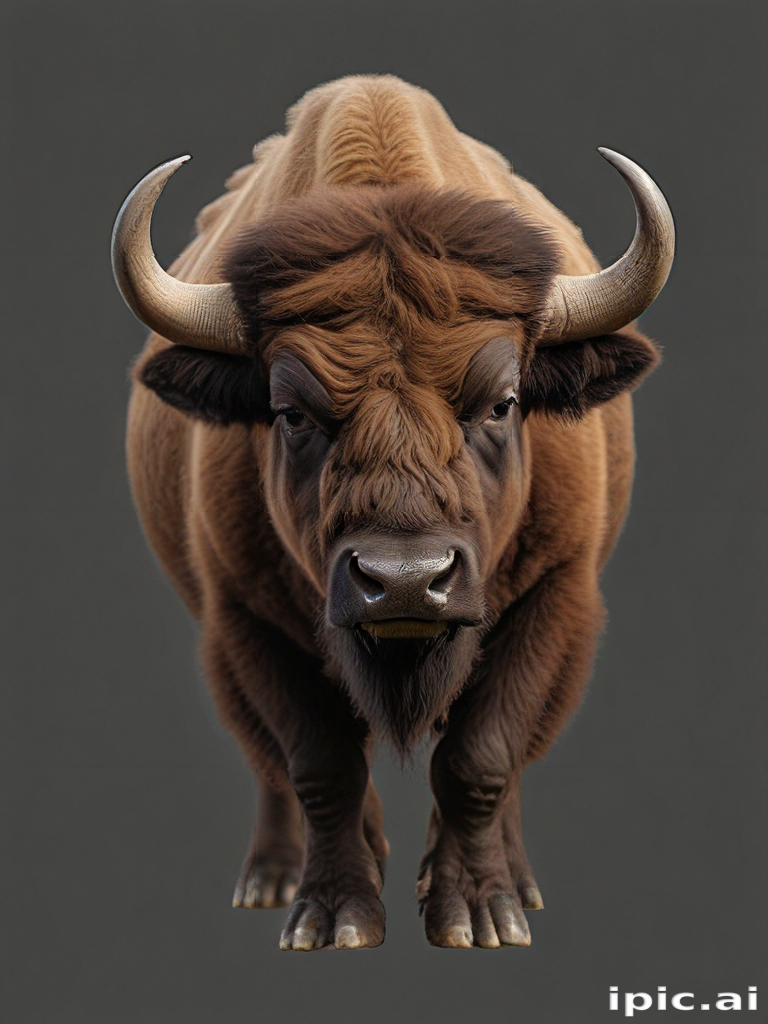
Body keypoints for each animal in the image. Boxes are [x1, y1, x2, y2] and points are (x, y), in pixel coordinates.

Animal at [112, 75, 673, 950]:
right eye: (290, 413)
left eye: (504, 402)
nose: (406, 582)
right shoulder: (242, 619)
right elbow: (317, 766)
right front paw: (333, 916)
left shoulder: (557, 594)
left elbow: (484, 759)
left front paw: (480, 914)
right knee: (272, 767)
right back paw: (274, 879)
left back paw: (516, 883)